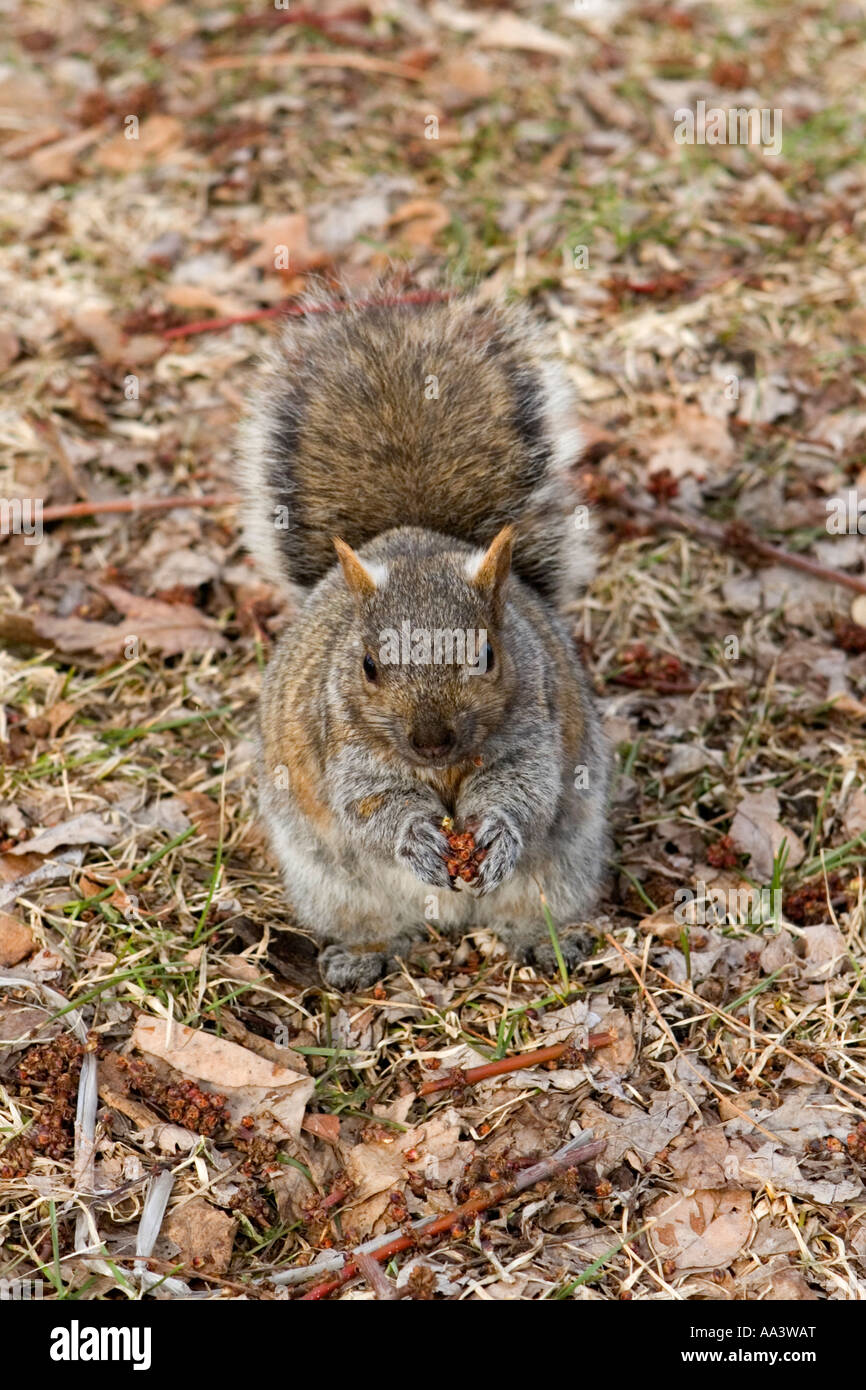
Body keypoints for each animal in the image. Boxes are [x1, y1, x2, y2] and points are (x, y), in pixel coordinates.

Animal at [238, 289, 610, 990]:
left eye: (488, 655)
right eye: (367, 665)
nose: (431, 740)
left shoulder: (533, 727)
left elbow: (526, 788)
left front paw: (497, 832)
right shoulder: (344, 749)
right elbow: (371, 807)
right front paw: (413, 836)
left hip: (563, 866)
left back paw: (540, 940)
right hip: (331, 883)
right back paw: (363, 954)